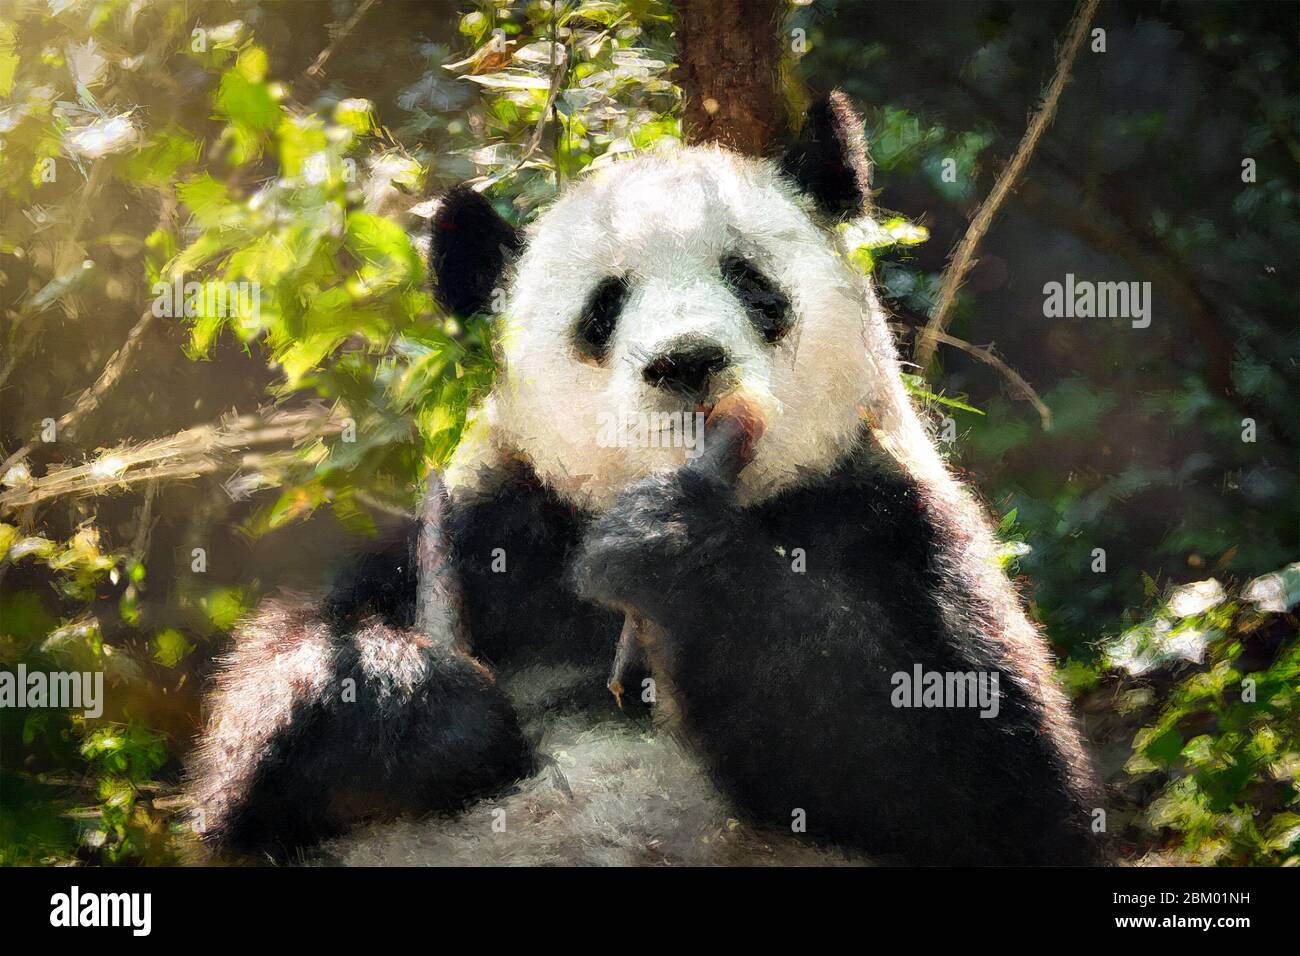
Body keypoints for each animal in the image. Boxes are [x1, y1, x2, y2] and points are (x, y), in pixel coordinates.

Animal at [186, 92, 1102, 866]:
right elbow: (272, 714)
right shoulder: (496, 524)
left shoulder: (886, 511)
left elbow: (986, 782)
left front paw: (668, 545)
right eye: (604, 306)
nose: (686, 362)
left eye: (750, 280)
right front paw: (420, 700)